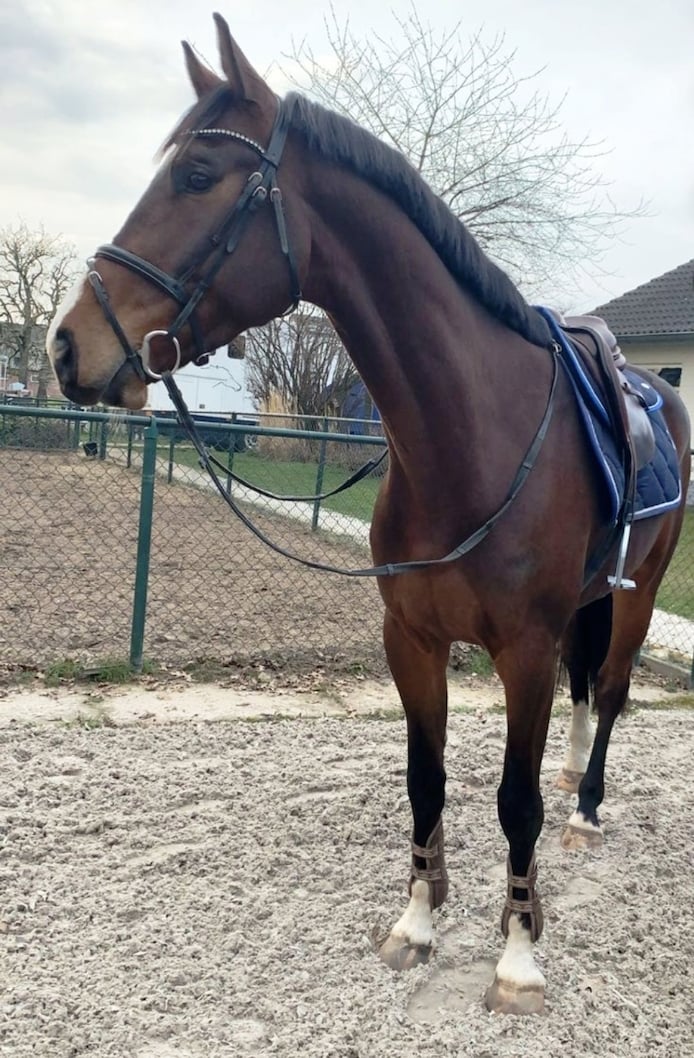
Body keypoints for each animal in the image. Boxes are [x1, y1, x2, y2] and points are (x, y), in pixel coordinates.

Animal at [47, 15, 690, 1014]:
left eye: (197, 175)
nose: (68, 345)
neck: (472, 438)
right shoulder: (411, 640)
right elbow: (426, 781)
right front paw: (417, 924)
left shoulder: (525, 650)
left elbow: (514, 800)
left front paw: (518, 955)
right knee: (591, 691)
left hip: (638, 591)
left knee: (613, 691)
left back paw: (586, 809)